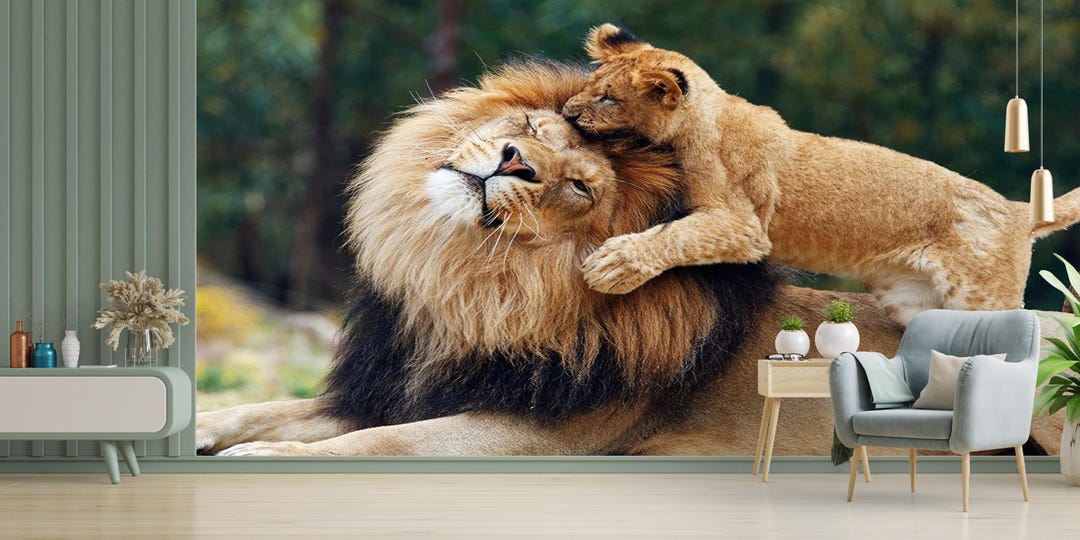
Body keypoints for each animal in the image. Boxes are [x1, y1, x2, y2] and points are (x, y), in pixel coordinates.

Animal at [196, 59, 1062, 458]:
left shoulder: (540, 434)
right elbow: (263, 406)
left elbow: (378, 443)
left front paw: (263, 456)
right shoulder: (395, 387)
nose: (511, 161)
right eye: (535, 130)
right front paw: (210, 428)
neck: (472, 287)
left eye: (580, 185)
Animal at [562, 24, 1080, 326]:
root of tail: (1015, 209)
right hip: (916, 305)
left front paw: (614, 267)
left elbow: (677, 235)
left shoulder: (744, 227)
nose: (567, 112)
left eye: (608, 98)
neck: (699, 124)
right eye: (592, 86)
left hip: (983, 300)